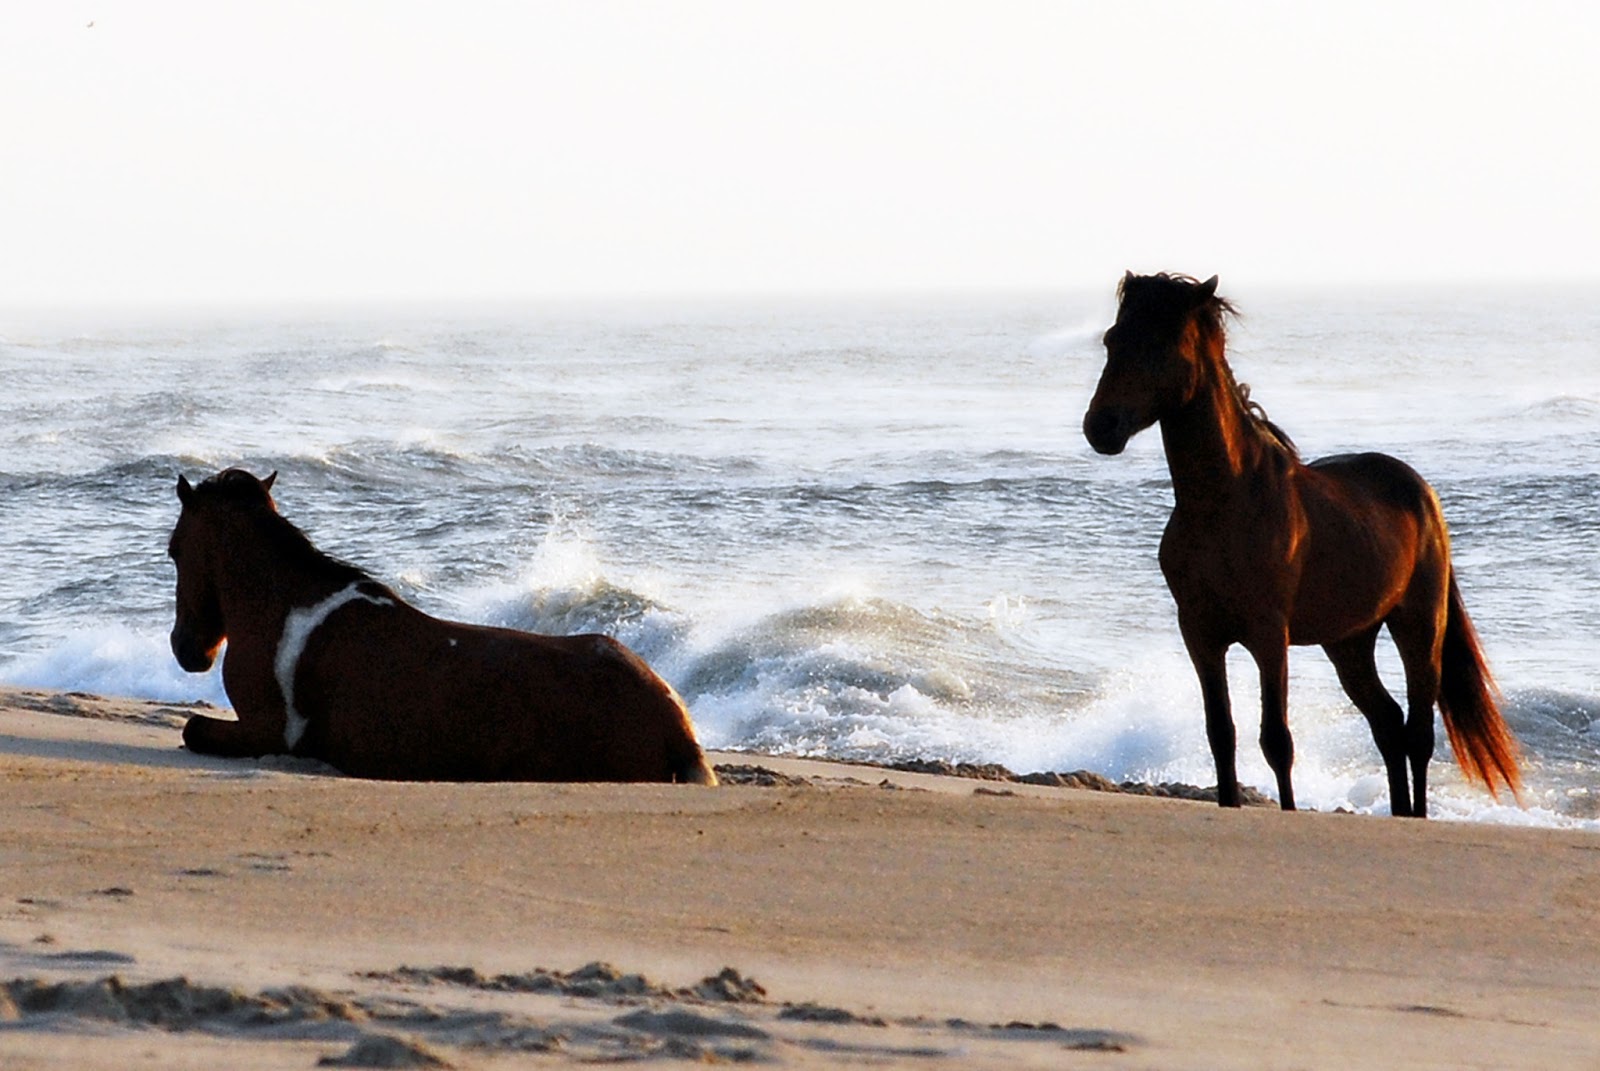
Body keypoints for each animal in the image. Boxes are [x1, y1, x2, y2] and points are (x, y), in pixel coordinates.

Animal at [167, 468, 718, 785]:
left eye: (173, 551)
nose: (187, 649)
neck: (284, 606)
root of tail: (676, 728)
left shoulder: (266, 732)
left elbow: (193, 729)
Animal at [1082, 272, 1519, 817]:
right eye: (1111, 340)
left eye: (1161, 345)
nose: (1101, 427)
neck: (1225, 500)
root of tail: (1422, 493)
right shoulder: (1200, 634)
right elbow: (1220, 733)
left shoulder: (1270, 634)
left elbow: (1277, 740)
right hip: (1349, 642)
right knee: (1388, 723)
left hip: (1418, 626)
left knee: (1417, 732)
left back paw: (1415, 817)